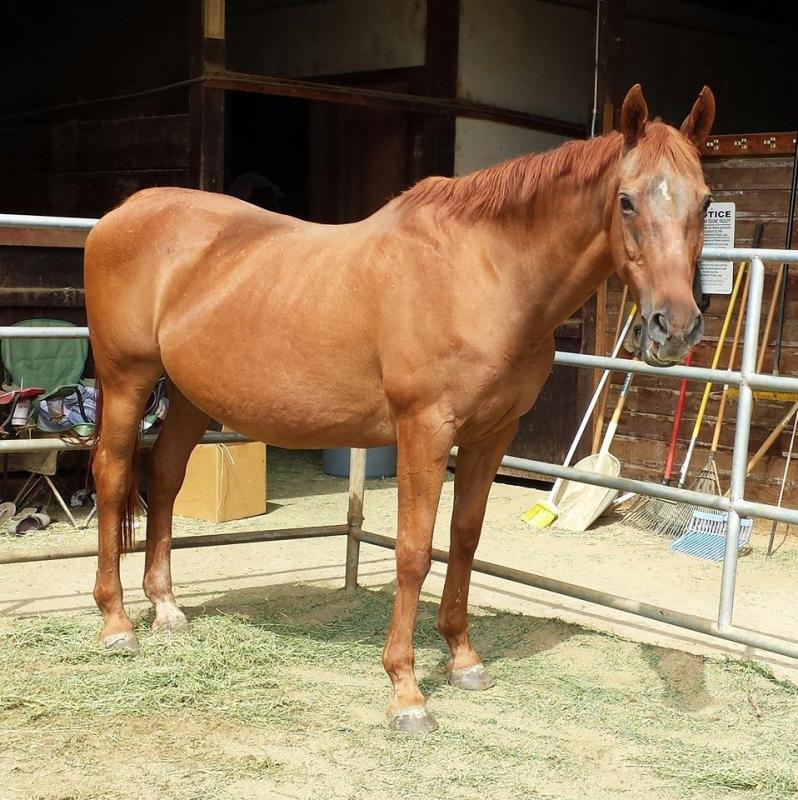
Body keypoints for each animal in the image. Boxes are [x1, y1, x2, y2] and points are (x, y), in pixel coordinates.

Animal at [85, 84, 714, 733]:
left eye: (706, 202)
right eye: (627, 201)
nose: (675, 328)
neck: (485, 274)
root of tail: (121, 215)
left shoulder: (492, 433)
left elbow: (464, 538)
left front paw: (463, 659)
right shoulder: (425, 430)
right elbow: (414, 551)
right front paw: (407, 692)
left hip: (189, 396)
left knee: (163, 479)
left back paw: (165, 607)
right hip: (128, 380)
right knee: (113, 476)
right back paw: (117, 623)